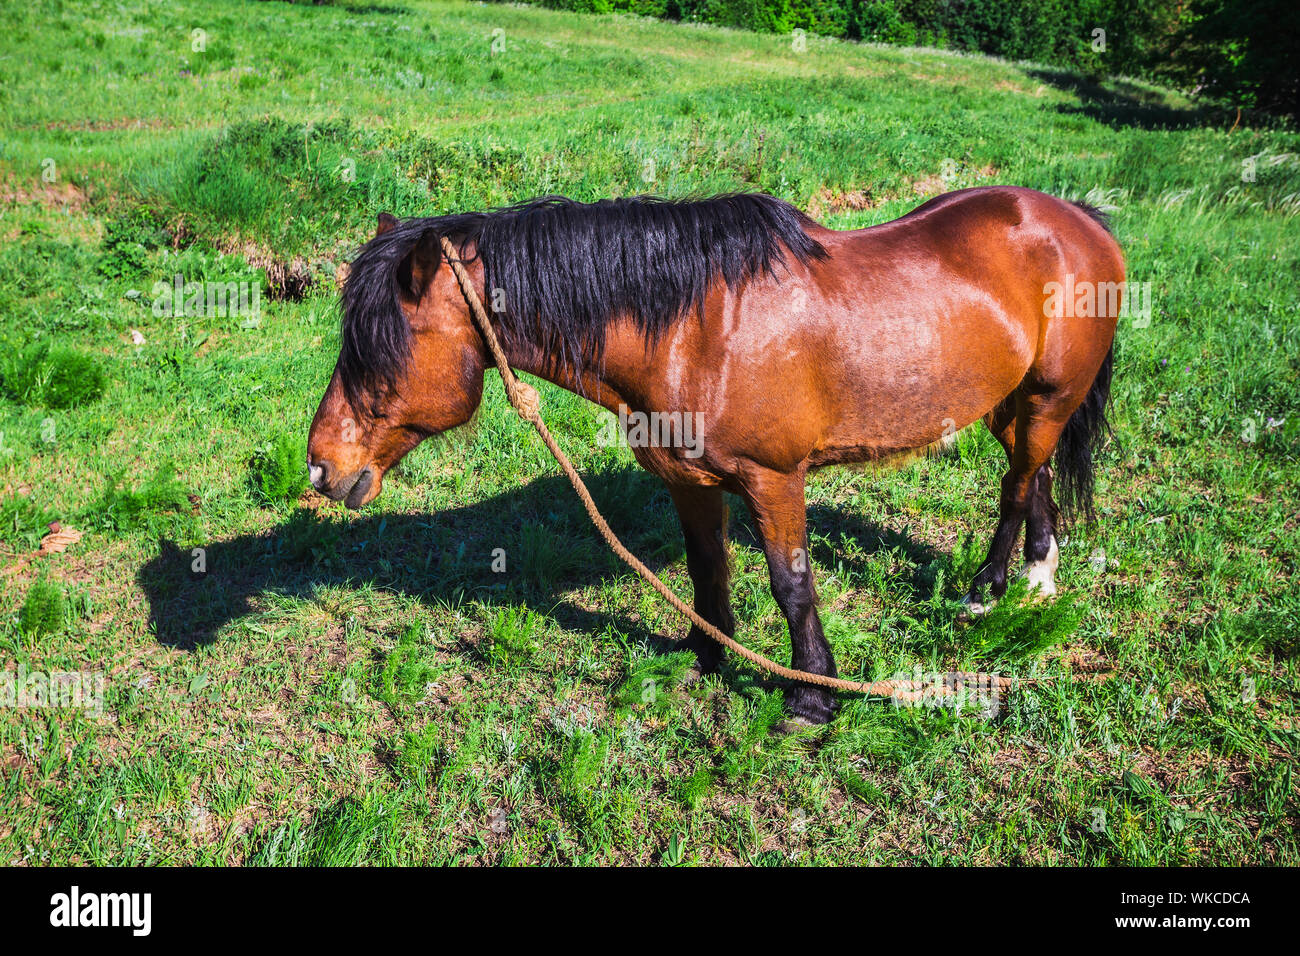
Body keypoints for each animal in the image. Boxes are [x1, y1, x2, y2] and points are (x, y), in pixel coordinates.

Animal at [307, 186, 1121, 724]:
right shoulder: (688, 480)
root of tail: (1079, 219)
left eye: (381, 345)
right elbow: (707, 568)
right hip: (1010, 405)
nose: (320, 467)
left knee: (1018, 483)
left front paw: (812, 694)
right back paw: (1038, 580)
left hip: (1046, 399)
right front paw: (704, 659)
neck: (696, 327)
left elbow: (792, 584)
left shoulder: (774, 479)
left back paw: (988, 589)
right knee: (1035, 475)